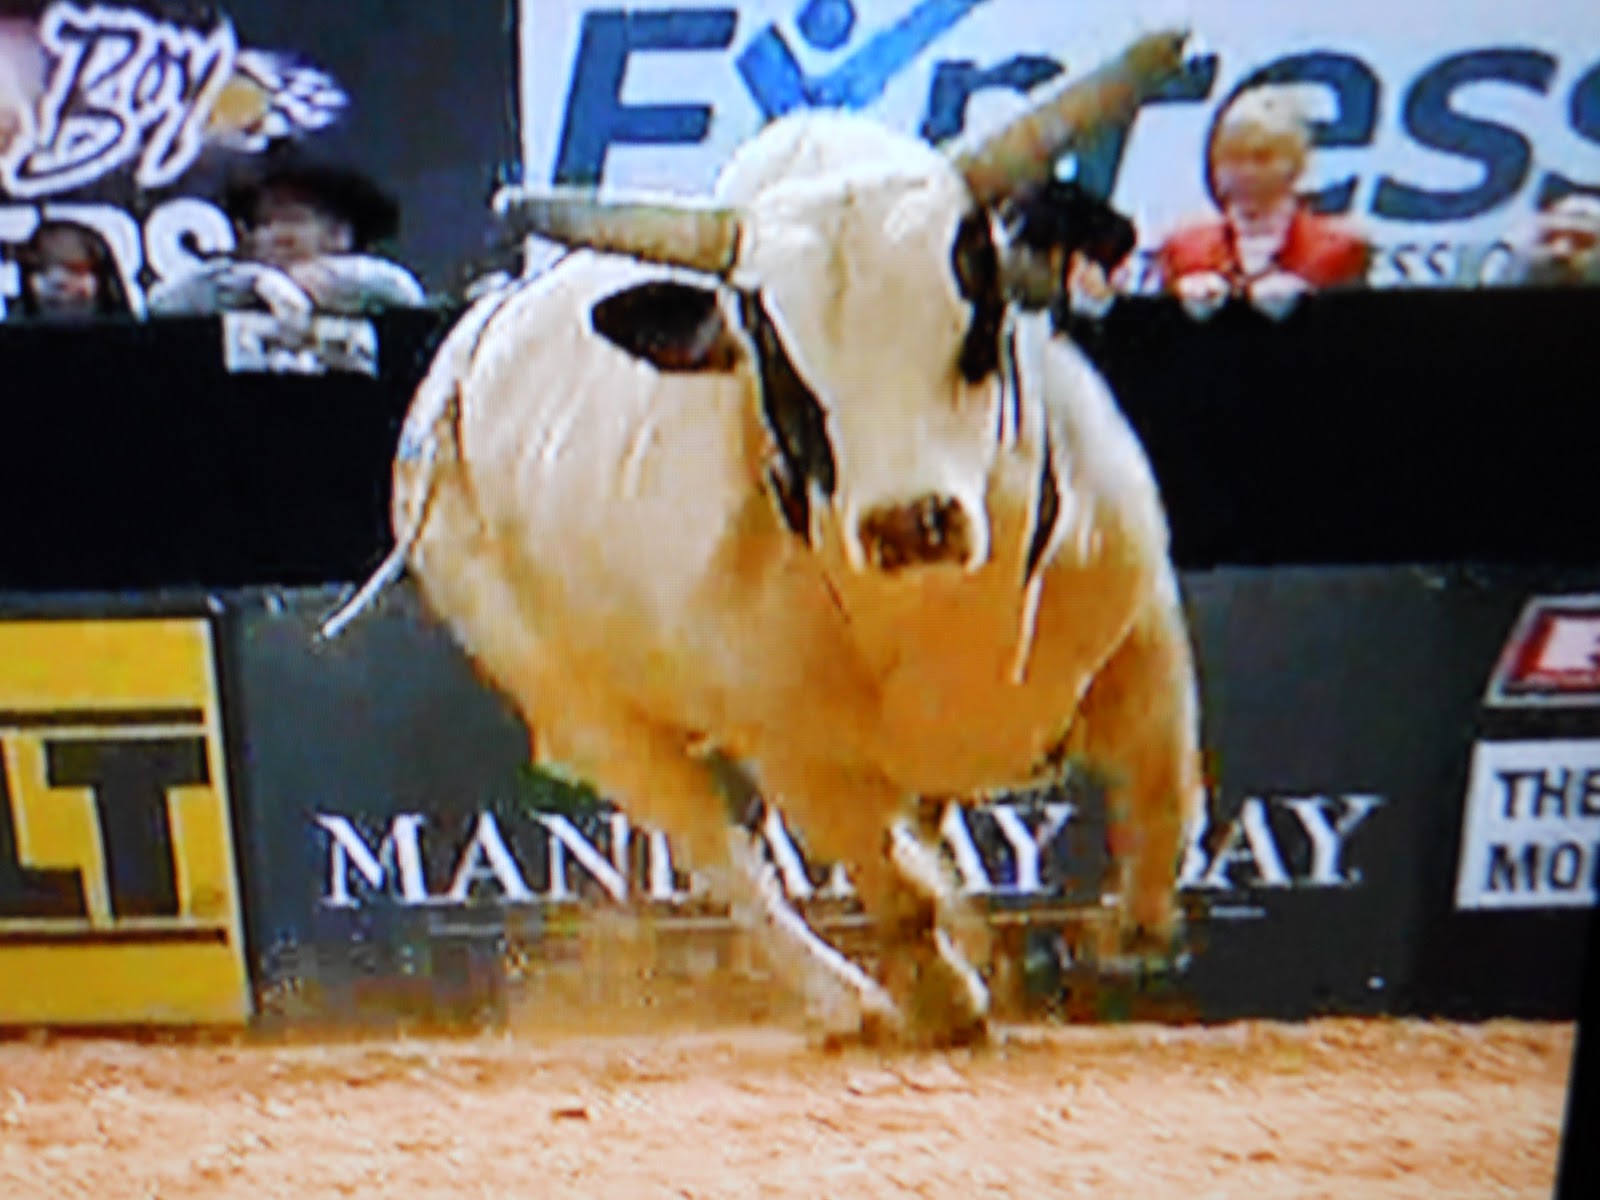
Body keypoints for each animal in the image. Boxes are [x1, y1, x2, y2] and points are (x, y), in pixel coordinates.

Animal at [324, 30, 1205, 1048]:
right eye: (779, 358)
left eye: (978, 309)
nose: (912, 522)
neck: (942, 617)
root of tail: (460, 362)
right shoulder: (796, 758)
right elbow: (892, 890)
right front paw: (942, 1000)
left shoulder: (1143, 623)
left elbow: (1164, 786)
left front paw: (1130, 932)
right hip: (590, 714)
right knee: (726, 862)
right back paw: (853, 999)